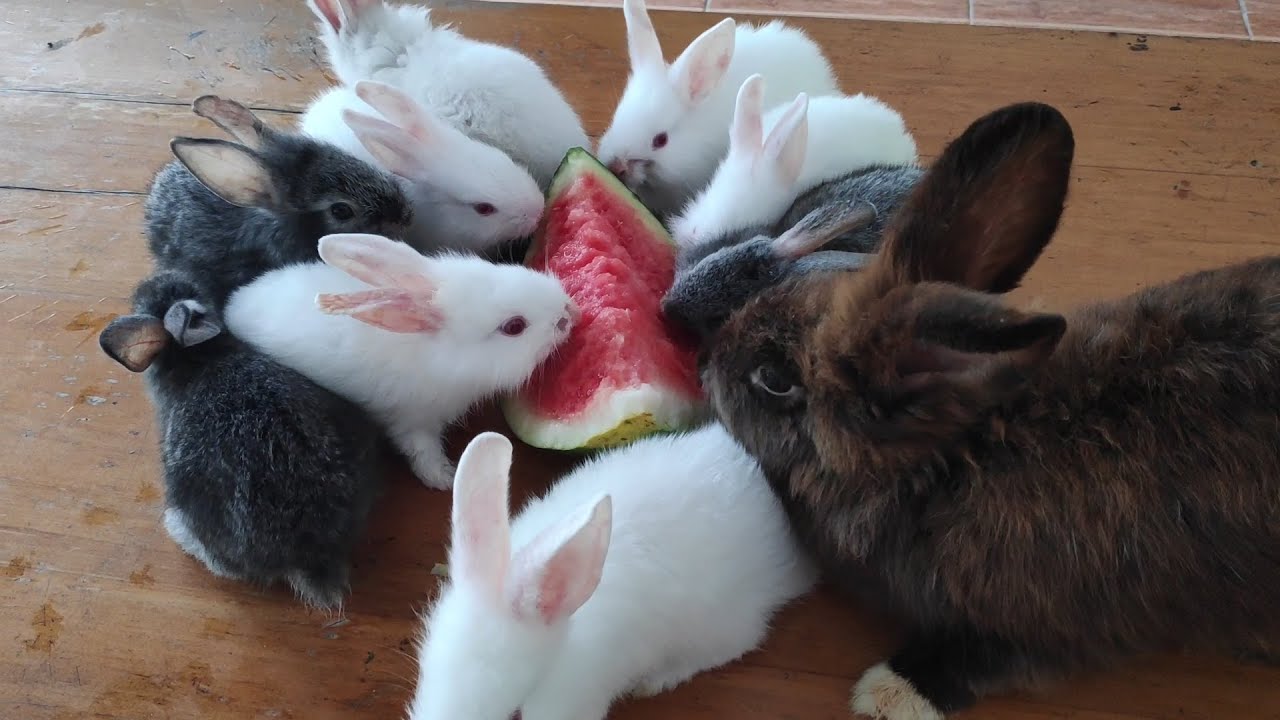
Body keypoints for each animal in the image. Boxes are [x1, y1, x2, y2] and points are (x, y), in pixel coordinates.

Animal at [222, 232, 577, 491]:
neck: (440, 356)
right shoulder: (411, 421)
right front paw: (446, 479)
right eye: (514, 326)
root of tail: (234, 305)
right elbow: (422, 451)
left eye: (503, 270)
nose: (569, 312)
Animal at [700, 100, 1280, 719]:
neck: (953, 458)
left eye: (773, 379)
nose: (706, 365)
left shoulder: (1050, 627)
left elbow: (987, 661)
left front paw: (888, 693)